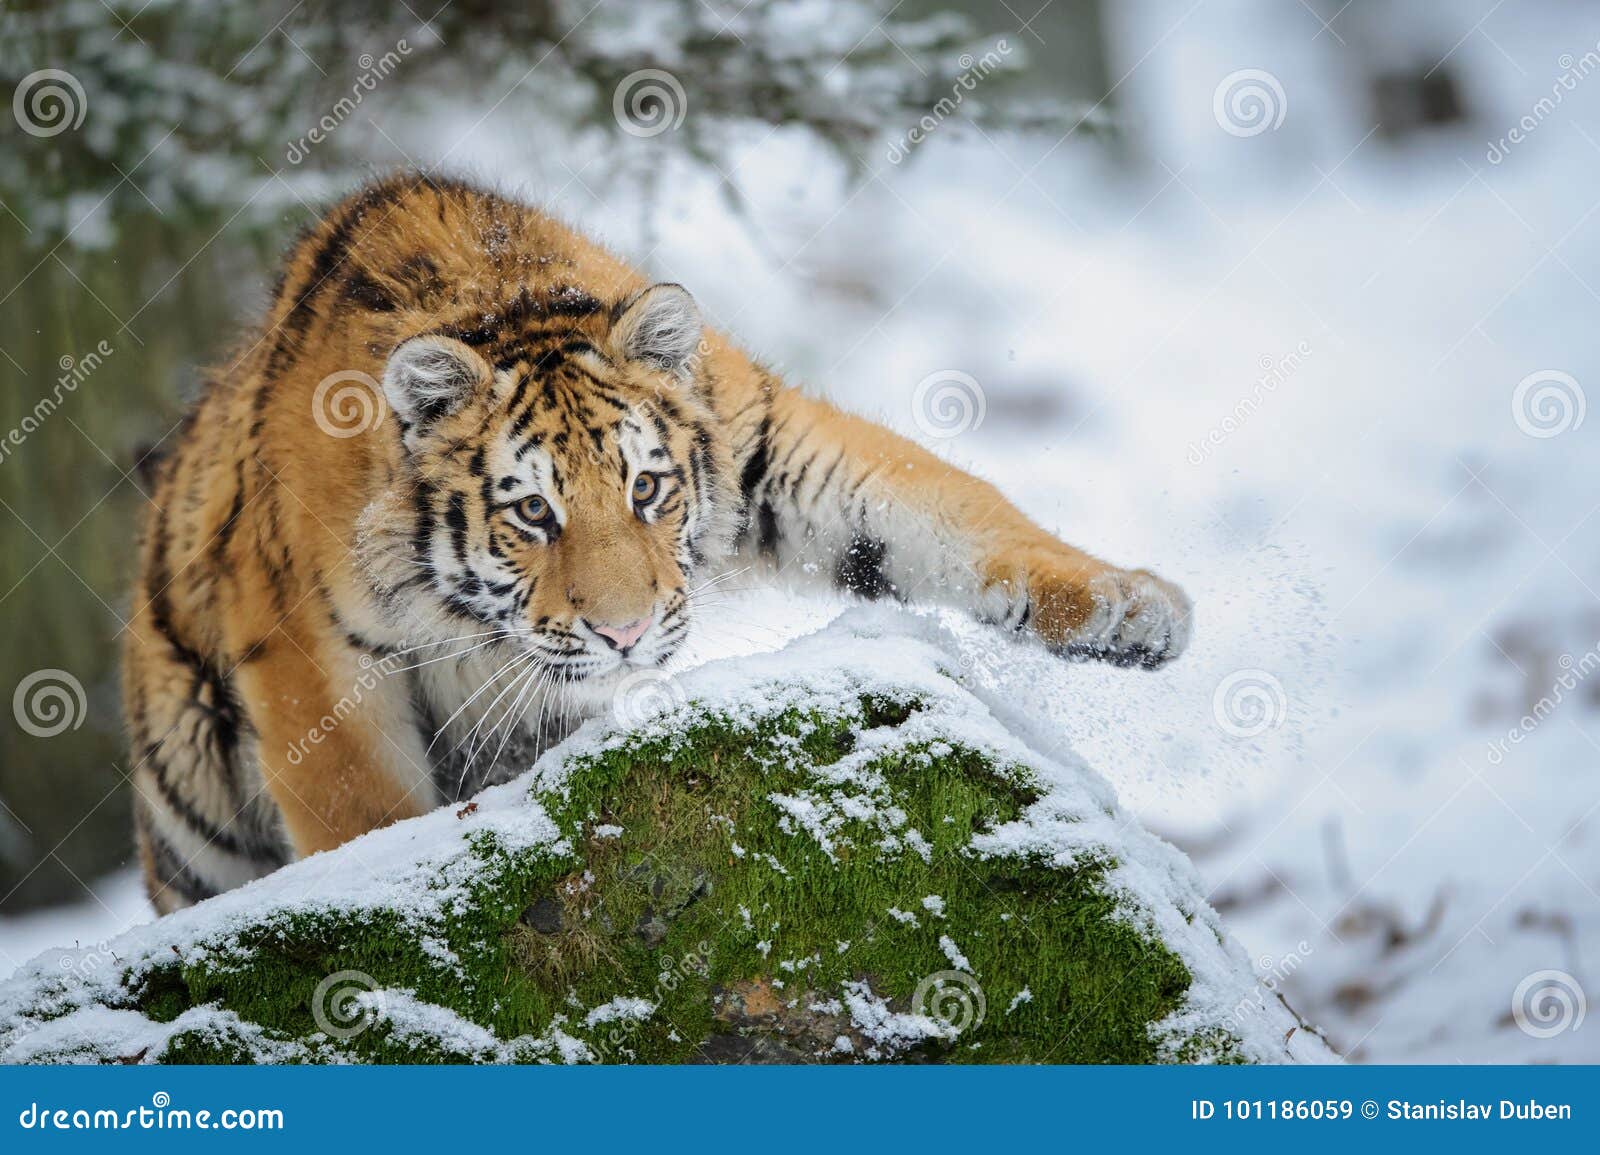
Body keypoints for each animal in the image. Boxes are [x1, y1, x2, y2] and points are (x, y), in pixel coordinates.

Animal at [123, 173, 1192, 914]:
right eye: (532, 514)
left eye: (647, 488)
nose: (628, 635)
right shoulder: (308, 653)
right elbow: (361, 811)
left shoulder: (770, 450)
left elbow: (940, 507)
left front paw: (1130, 607)